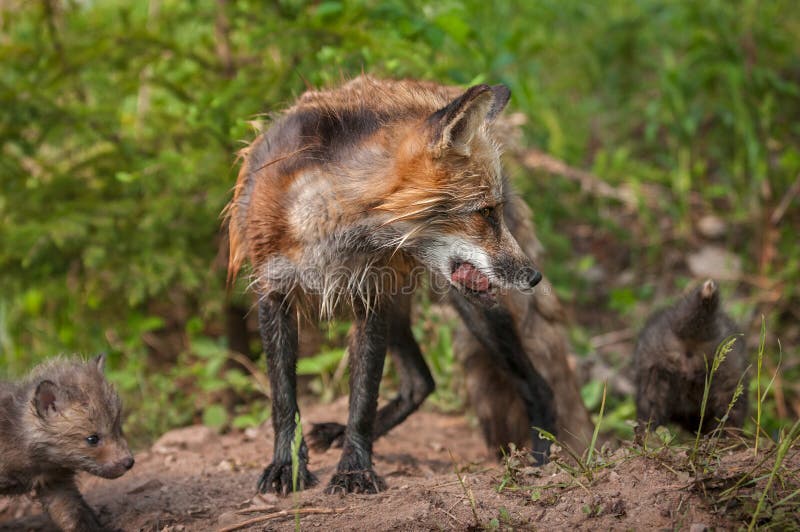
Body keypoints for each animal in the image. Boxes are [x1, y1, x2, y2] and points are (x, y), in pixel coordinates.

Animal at [226, 75, 557, 495]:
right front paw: (287, 465)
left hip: (474, 312)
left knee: (537, 385)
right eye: (484, 213)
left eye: (496, 211)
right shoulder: (274, 290)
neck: (328, 222)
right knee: (421, 382)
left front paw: (354, 470)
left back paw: (542, 459)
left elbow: (363, 401)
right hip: (405, 306)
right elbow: (283, 398)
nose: (534, 276)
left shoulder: (370, 296)